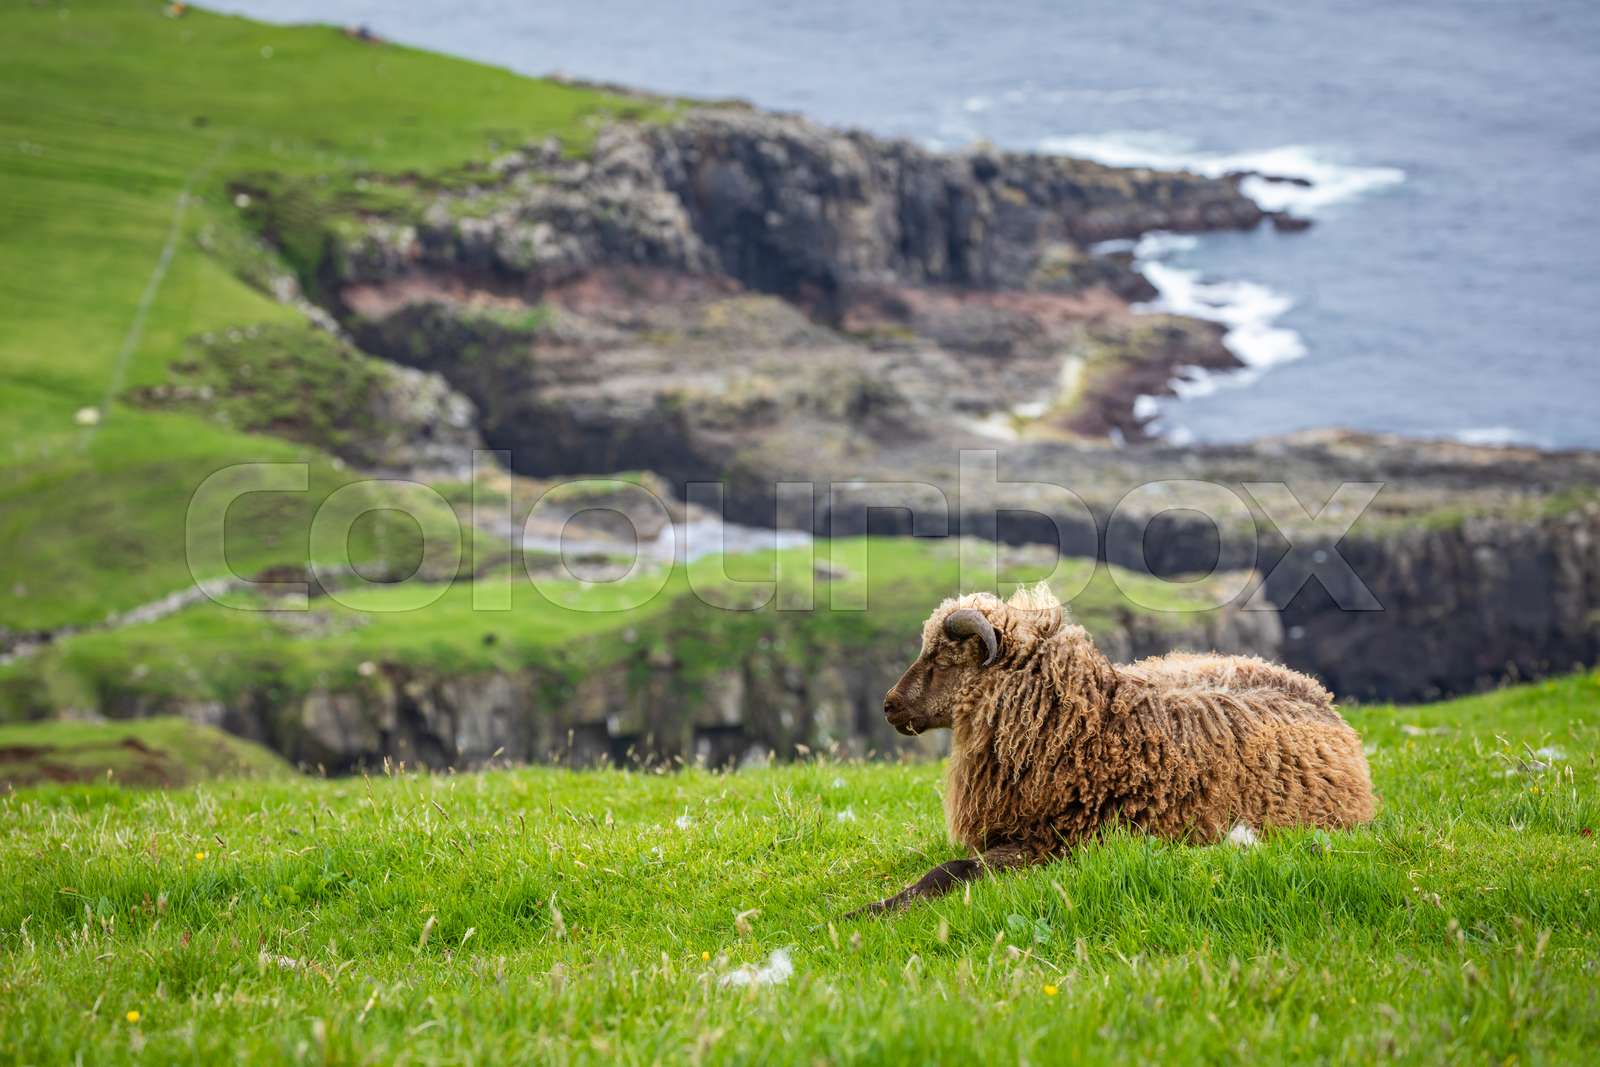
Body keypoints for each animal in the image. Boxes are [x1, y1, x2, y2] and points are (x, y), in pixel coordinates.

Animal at [851, 582, 1375, 914]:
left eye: (943, 659)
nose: (888, 706)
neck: (1087, 726)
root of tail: (1315, 691)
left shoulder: (1052, 846)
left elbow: (948, 871)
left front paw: (866, 911)